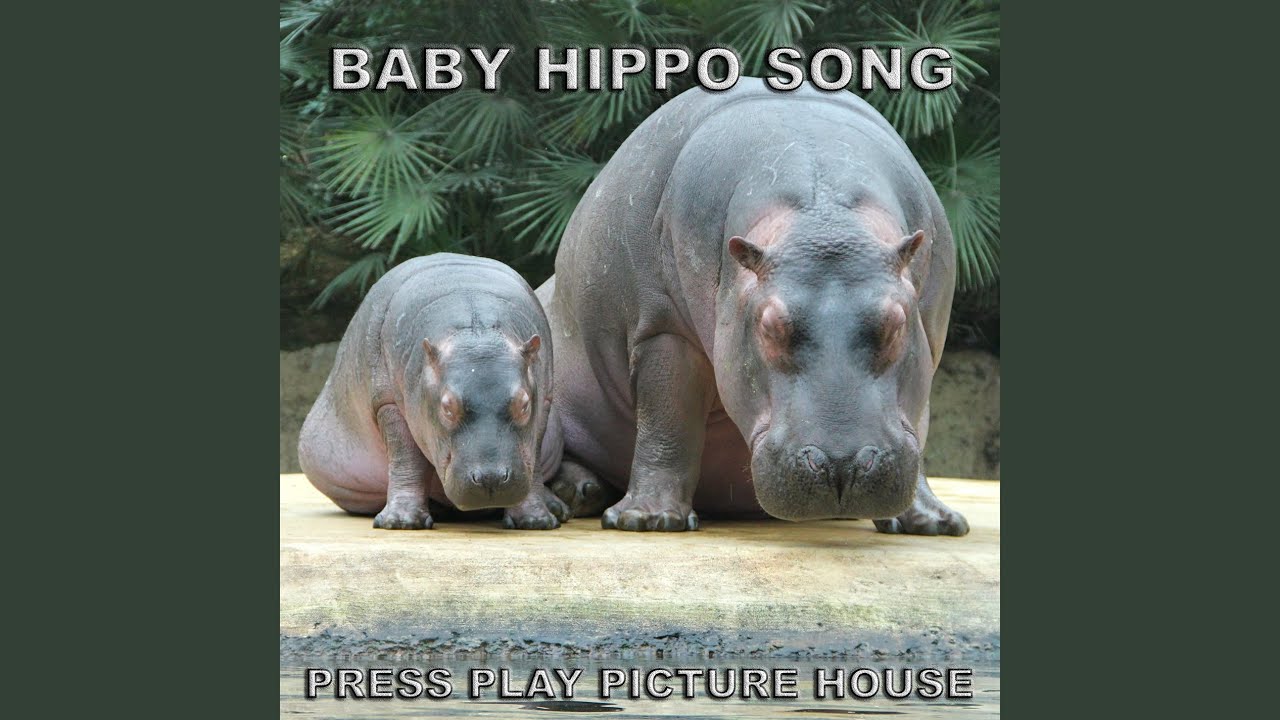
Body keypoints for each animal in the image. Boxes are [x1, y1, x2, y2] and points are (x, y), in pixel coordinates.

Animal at [298, 253, 570, 530]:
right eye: (447, 407)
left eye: (524, 405)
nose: (491, 478)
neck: (475, 327)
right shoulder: (388, 404)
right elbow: (406, 460)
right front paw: (400, 522)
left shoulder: (544, 402)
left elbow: (533, 458)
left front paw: (536, 520)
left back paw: (557, 507)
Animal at [537, 79, 969, 535]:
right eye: (769, 326)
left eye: (896, 324)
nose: (843, 465)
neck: (824, 214)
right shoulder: (662, 328)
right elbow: (668, 419)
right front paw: (647, 519)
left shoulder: (931, 337)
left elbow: (919, 423)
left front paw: (933, 523)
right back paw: (577, 490)